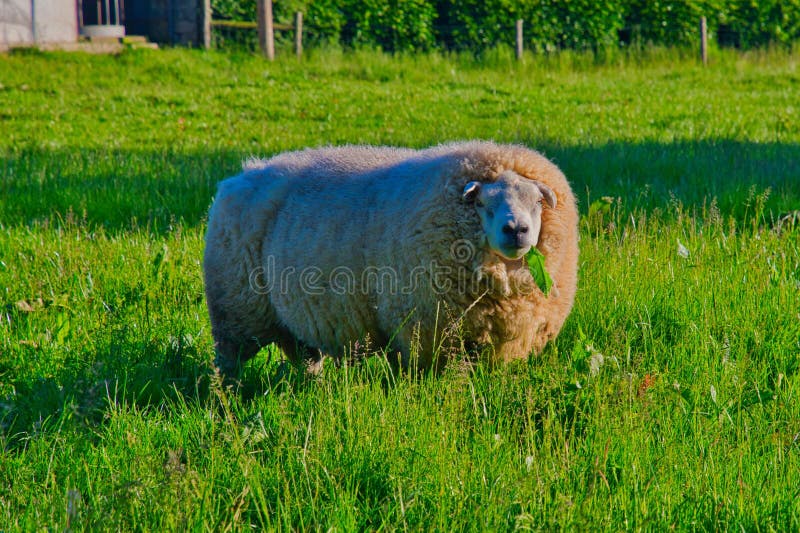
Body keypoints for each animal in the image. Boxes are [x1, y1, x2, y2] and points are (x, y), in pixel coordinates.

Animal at [203, 141, 579, 374]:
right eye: (483, 204)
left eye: (538, 202)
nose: (516, 229)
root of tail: (240, 175)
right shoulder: (424, 334)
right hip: (235, 309)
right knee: (228, 362)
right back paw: (226, 399)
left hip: (289, 321)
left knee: (306, 357)